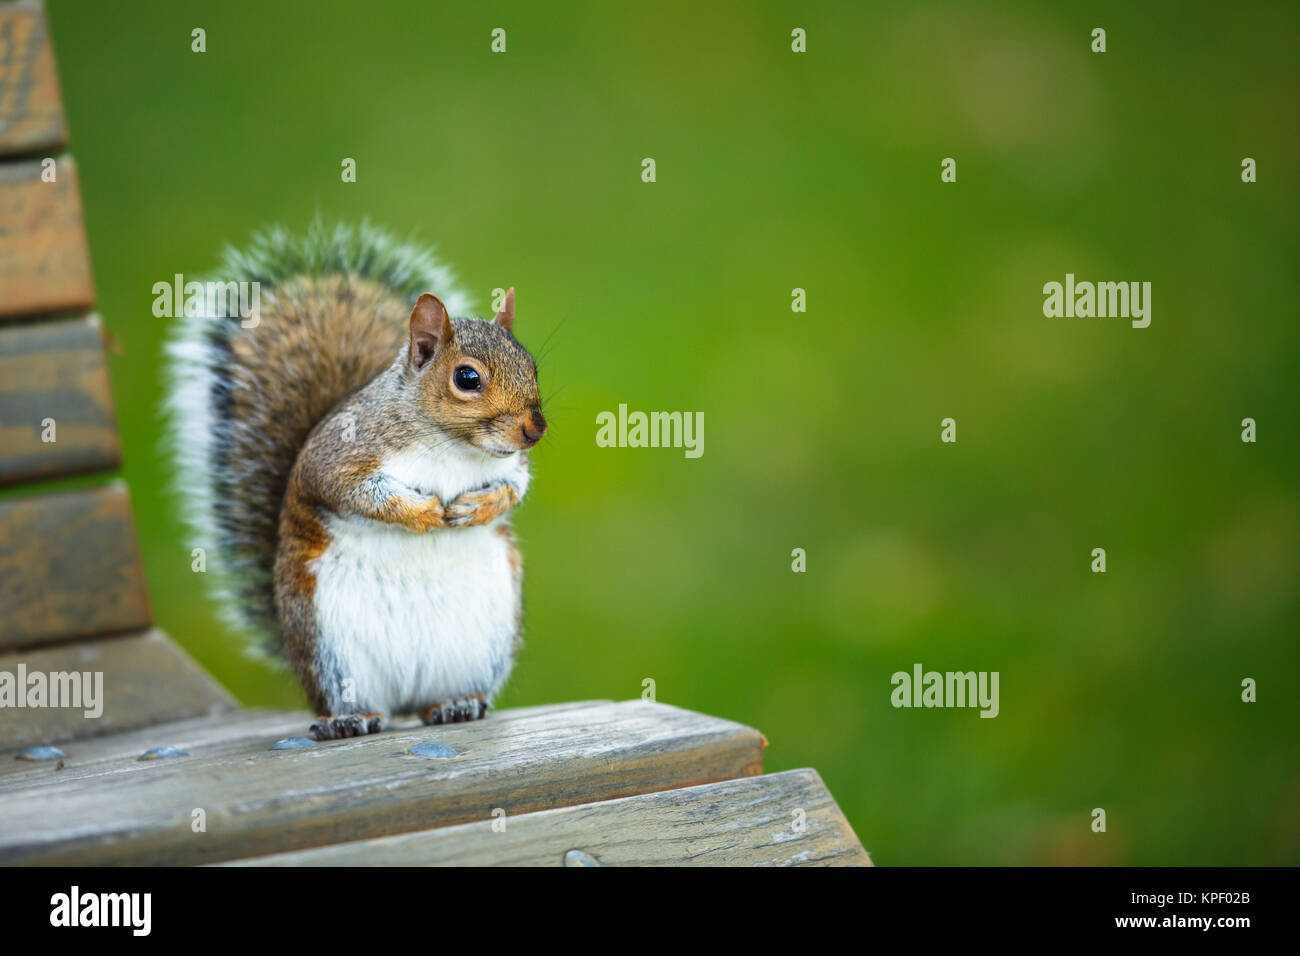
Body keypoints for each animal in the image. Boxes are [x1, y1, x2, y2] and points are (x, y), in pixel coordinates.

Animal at [166, 223, 546, 740]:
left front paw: (475, 508)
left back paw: (456, 703)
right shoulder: (339, 456)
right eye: (467, 378)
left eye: (532, 366)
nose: (535, 430)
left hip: (483, 640)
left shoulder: (509, 467)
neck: (452, 446)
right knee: (347, 696)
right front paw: (422, 513)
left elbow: (513, 490)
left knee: (437, 697)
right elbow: (356, 493)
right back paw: (349, 719)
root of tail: (403, 700)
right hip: (328, 646)